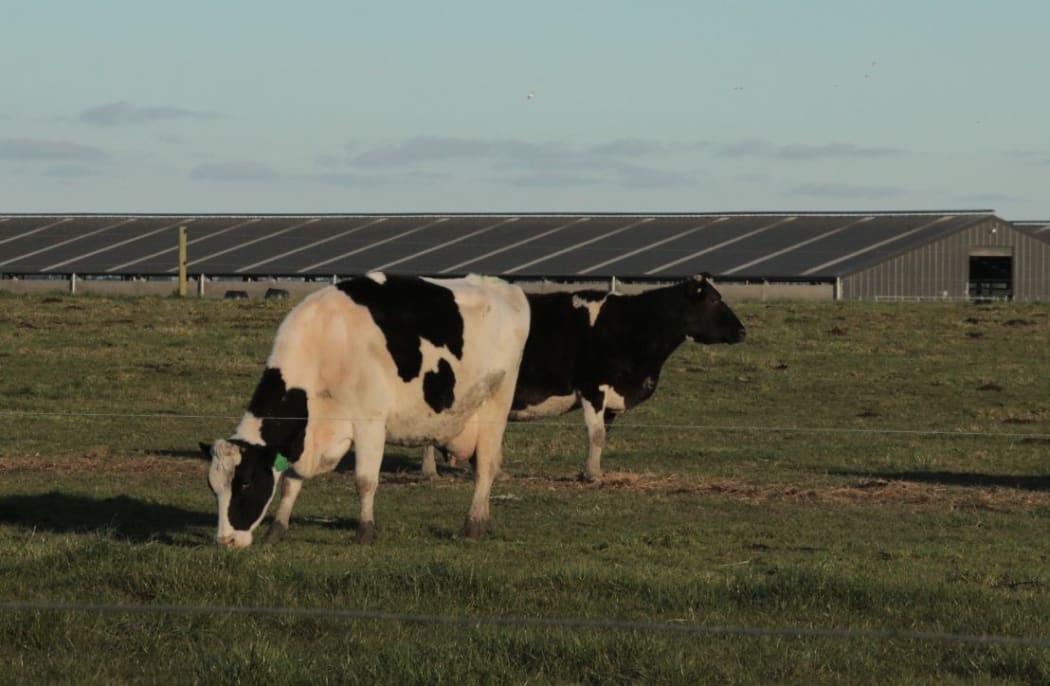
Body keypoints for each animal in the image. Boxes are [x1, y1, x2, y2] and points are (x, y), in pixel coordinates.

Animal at [200, 273, 529, 547]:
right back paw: (485, 521)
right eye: (213, 488)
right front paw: (277, 530)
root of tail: (504, 288)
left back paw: (473, 524)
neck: (323, 343)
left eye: (245, 482)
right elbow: (291, 481)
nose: (225, 541)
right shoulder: (306, 435)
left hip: (496, 406)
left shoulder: (369, 421)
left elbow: (365, 480)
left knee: (485, 467)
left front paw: (365, 533)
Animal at [421, 275, 745, 481]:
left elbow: (603, 435)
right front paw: (592, 475)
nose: (743, 331)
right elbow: (596, 433)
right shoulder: (593, 386)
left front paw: (591, 470)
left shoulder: (613, 396)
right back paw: (430, 471)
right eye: (714, 300)